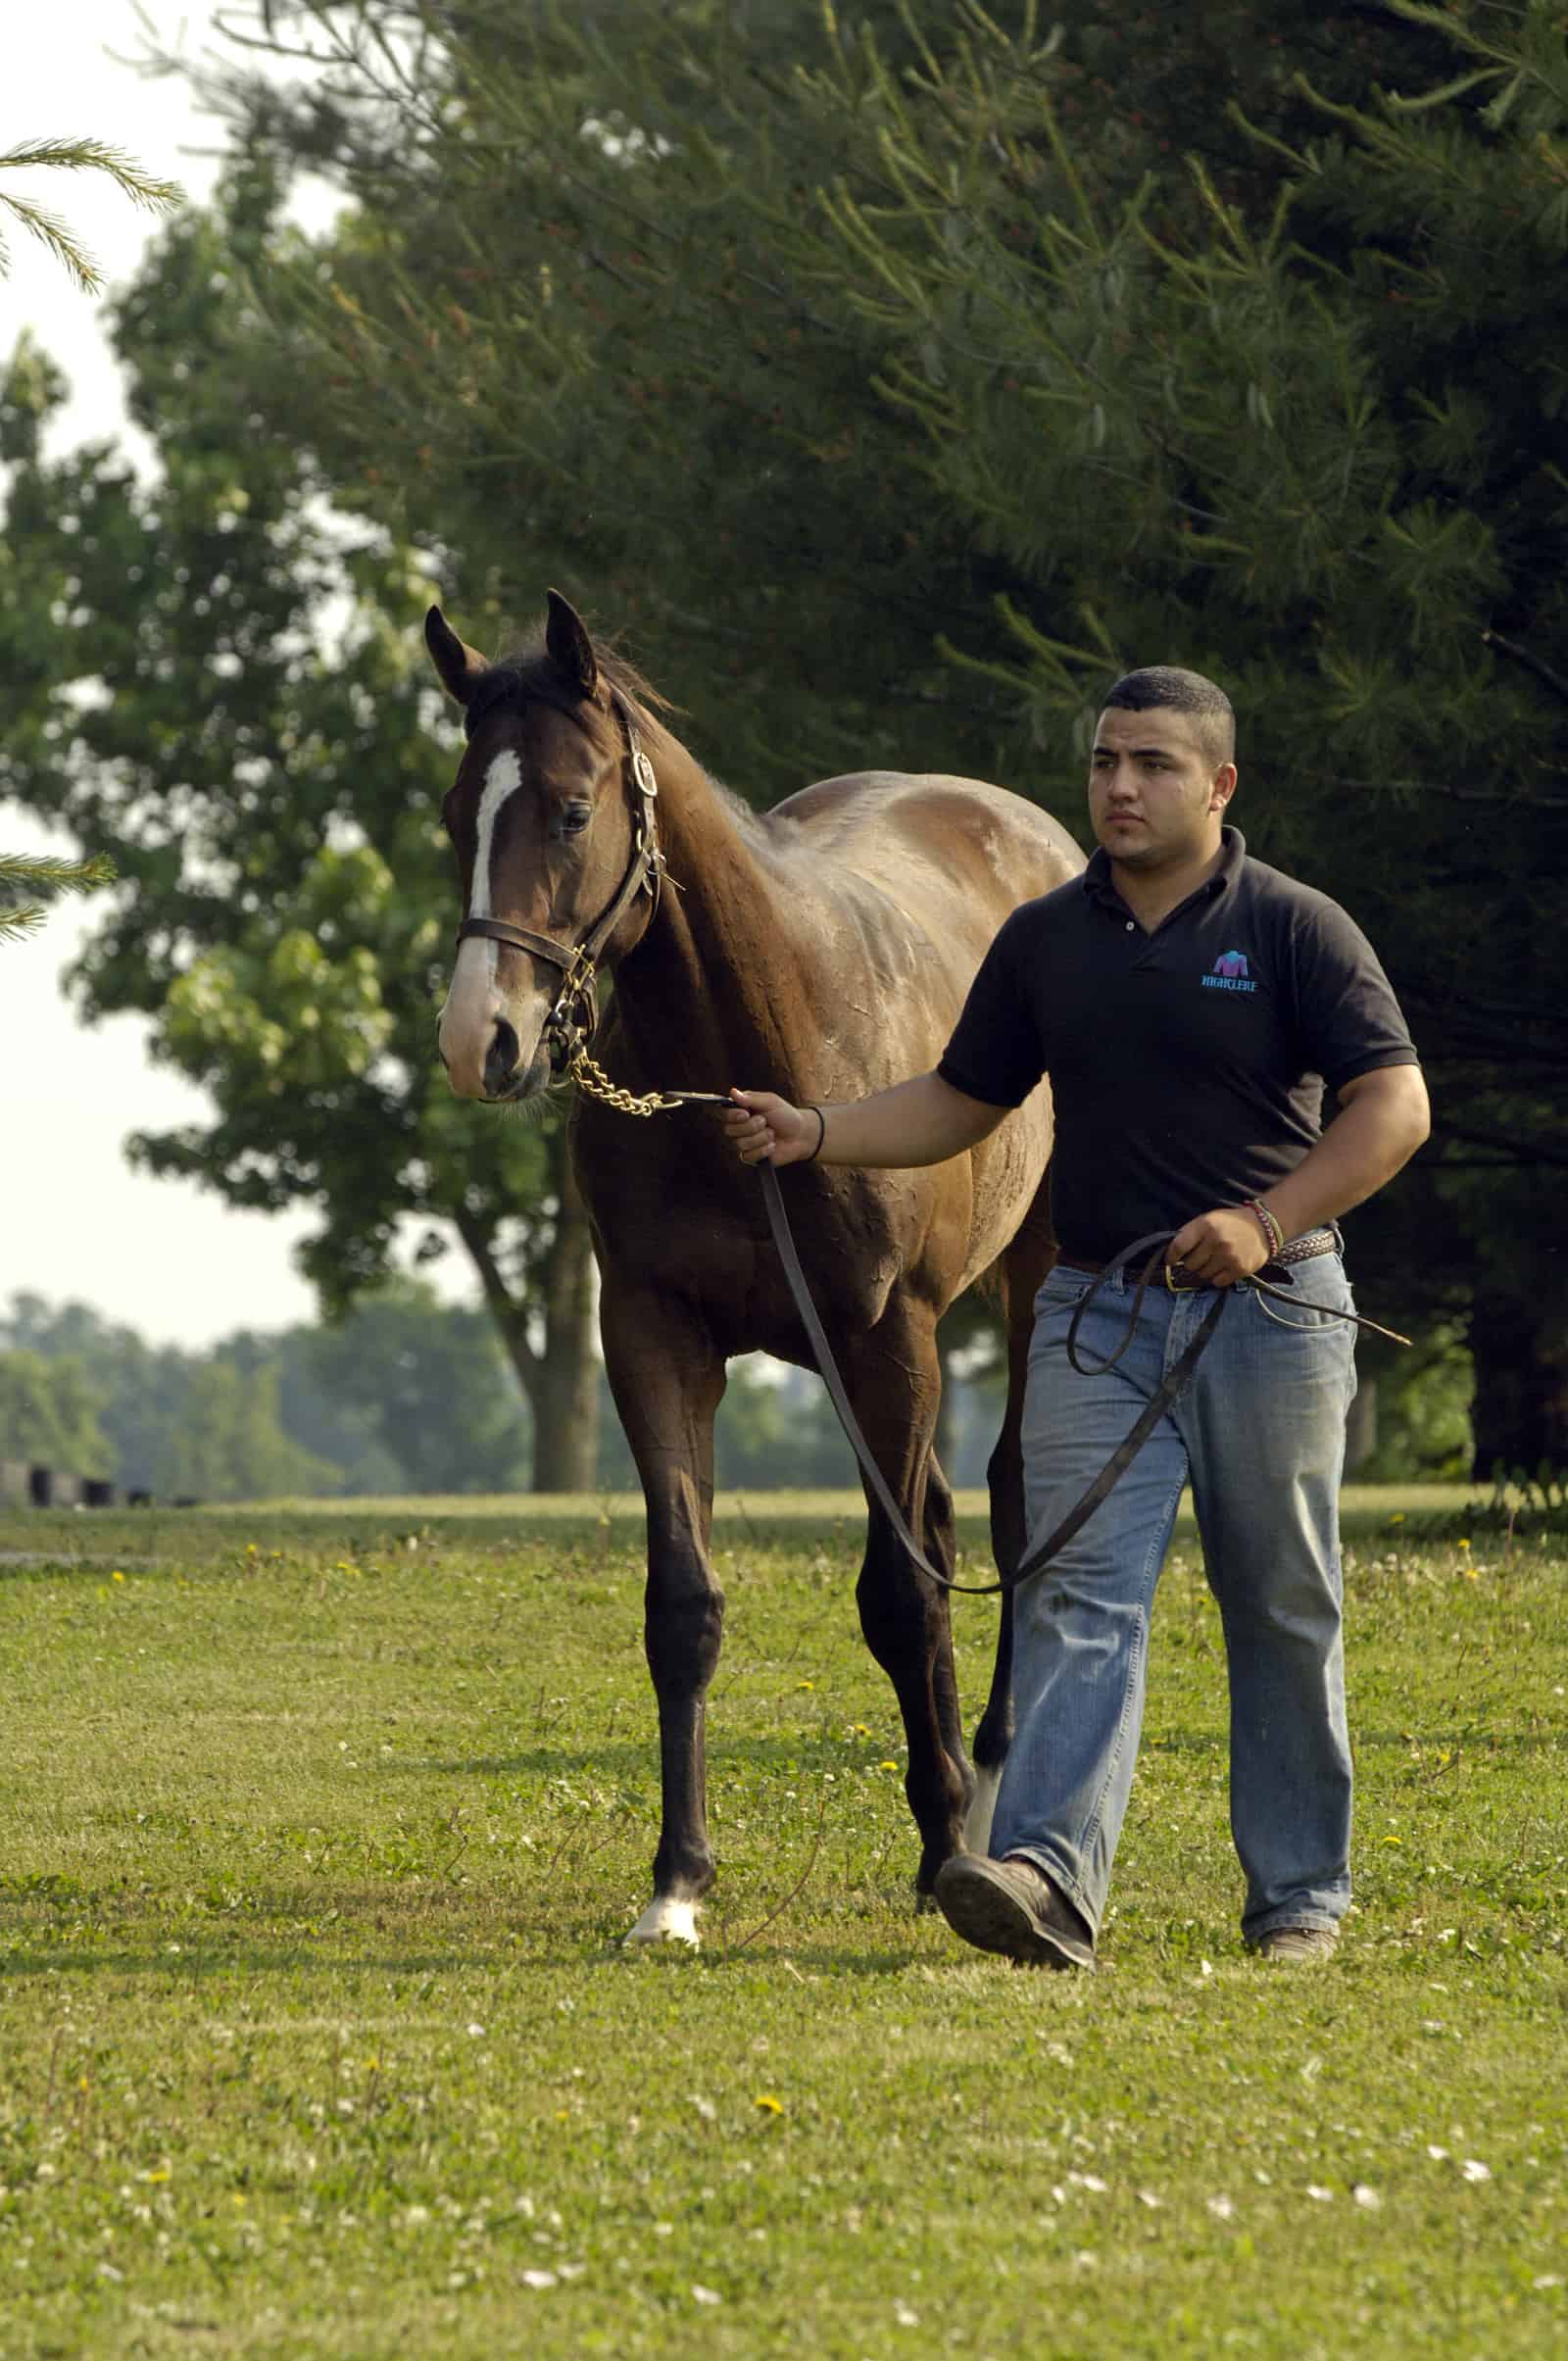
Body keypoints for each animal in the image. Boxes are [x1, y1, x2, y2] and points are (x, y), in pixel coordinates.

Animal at [427, 590, 1085, 1945]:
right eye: (458, 814)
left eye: (570, 808)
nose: (484, 1040)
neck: (753, 1049)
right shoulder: (654, 1334)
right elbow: (685, 1605)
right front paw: (676, 1885)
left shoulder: (888, 1339)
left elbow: (899, 1597)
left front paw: (944, 1850)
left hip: (1030, 1276)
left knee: (1005, 1508)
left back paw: (988, 1790)